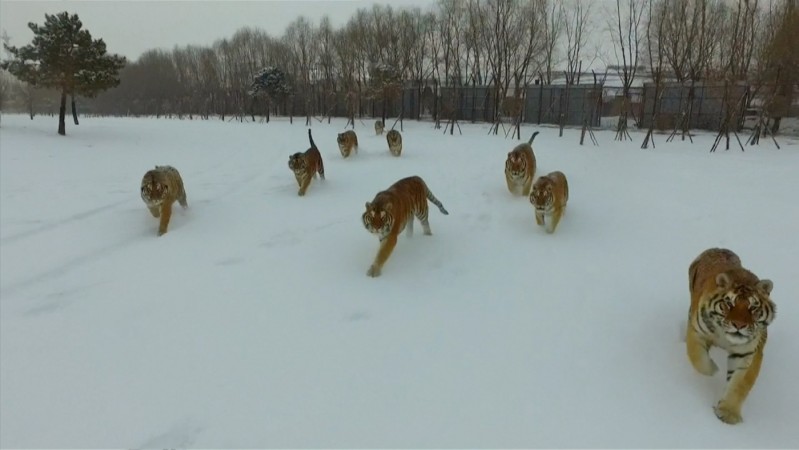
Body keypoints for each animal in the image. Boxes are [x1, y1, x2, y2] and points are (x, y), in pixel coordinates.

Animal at [686, 248, 776, 424]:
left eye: (753, 307)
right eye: (729, 304)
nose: (739, 325)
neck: (724, 337)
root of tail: (719, 248)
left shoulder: (747, 353)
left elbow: (739, 384)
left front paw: (728, 413)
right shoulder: (696, 332)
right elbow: (699, 360)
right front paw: (714, 371)